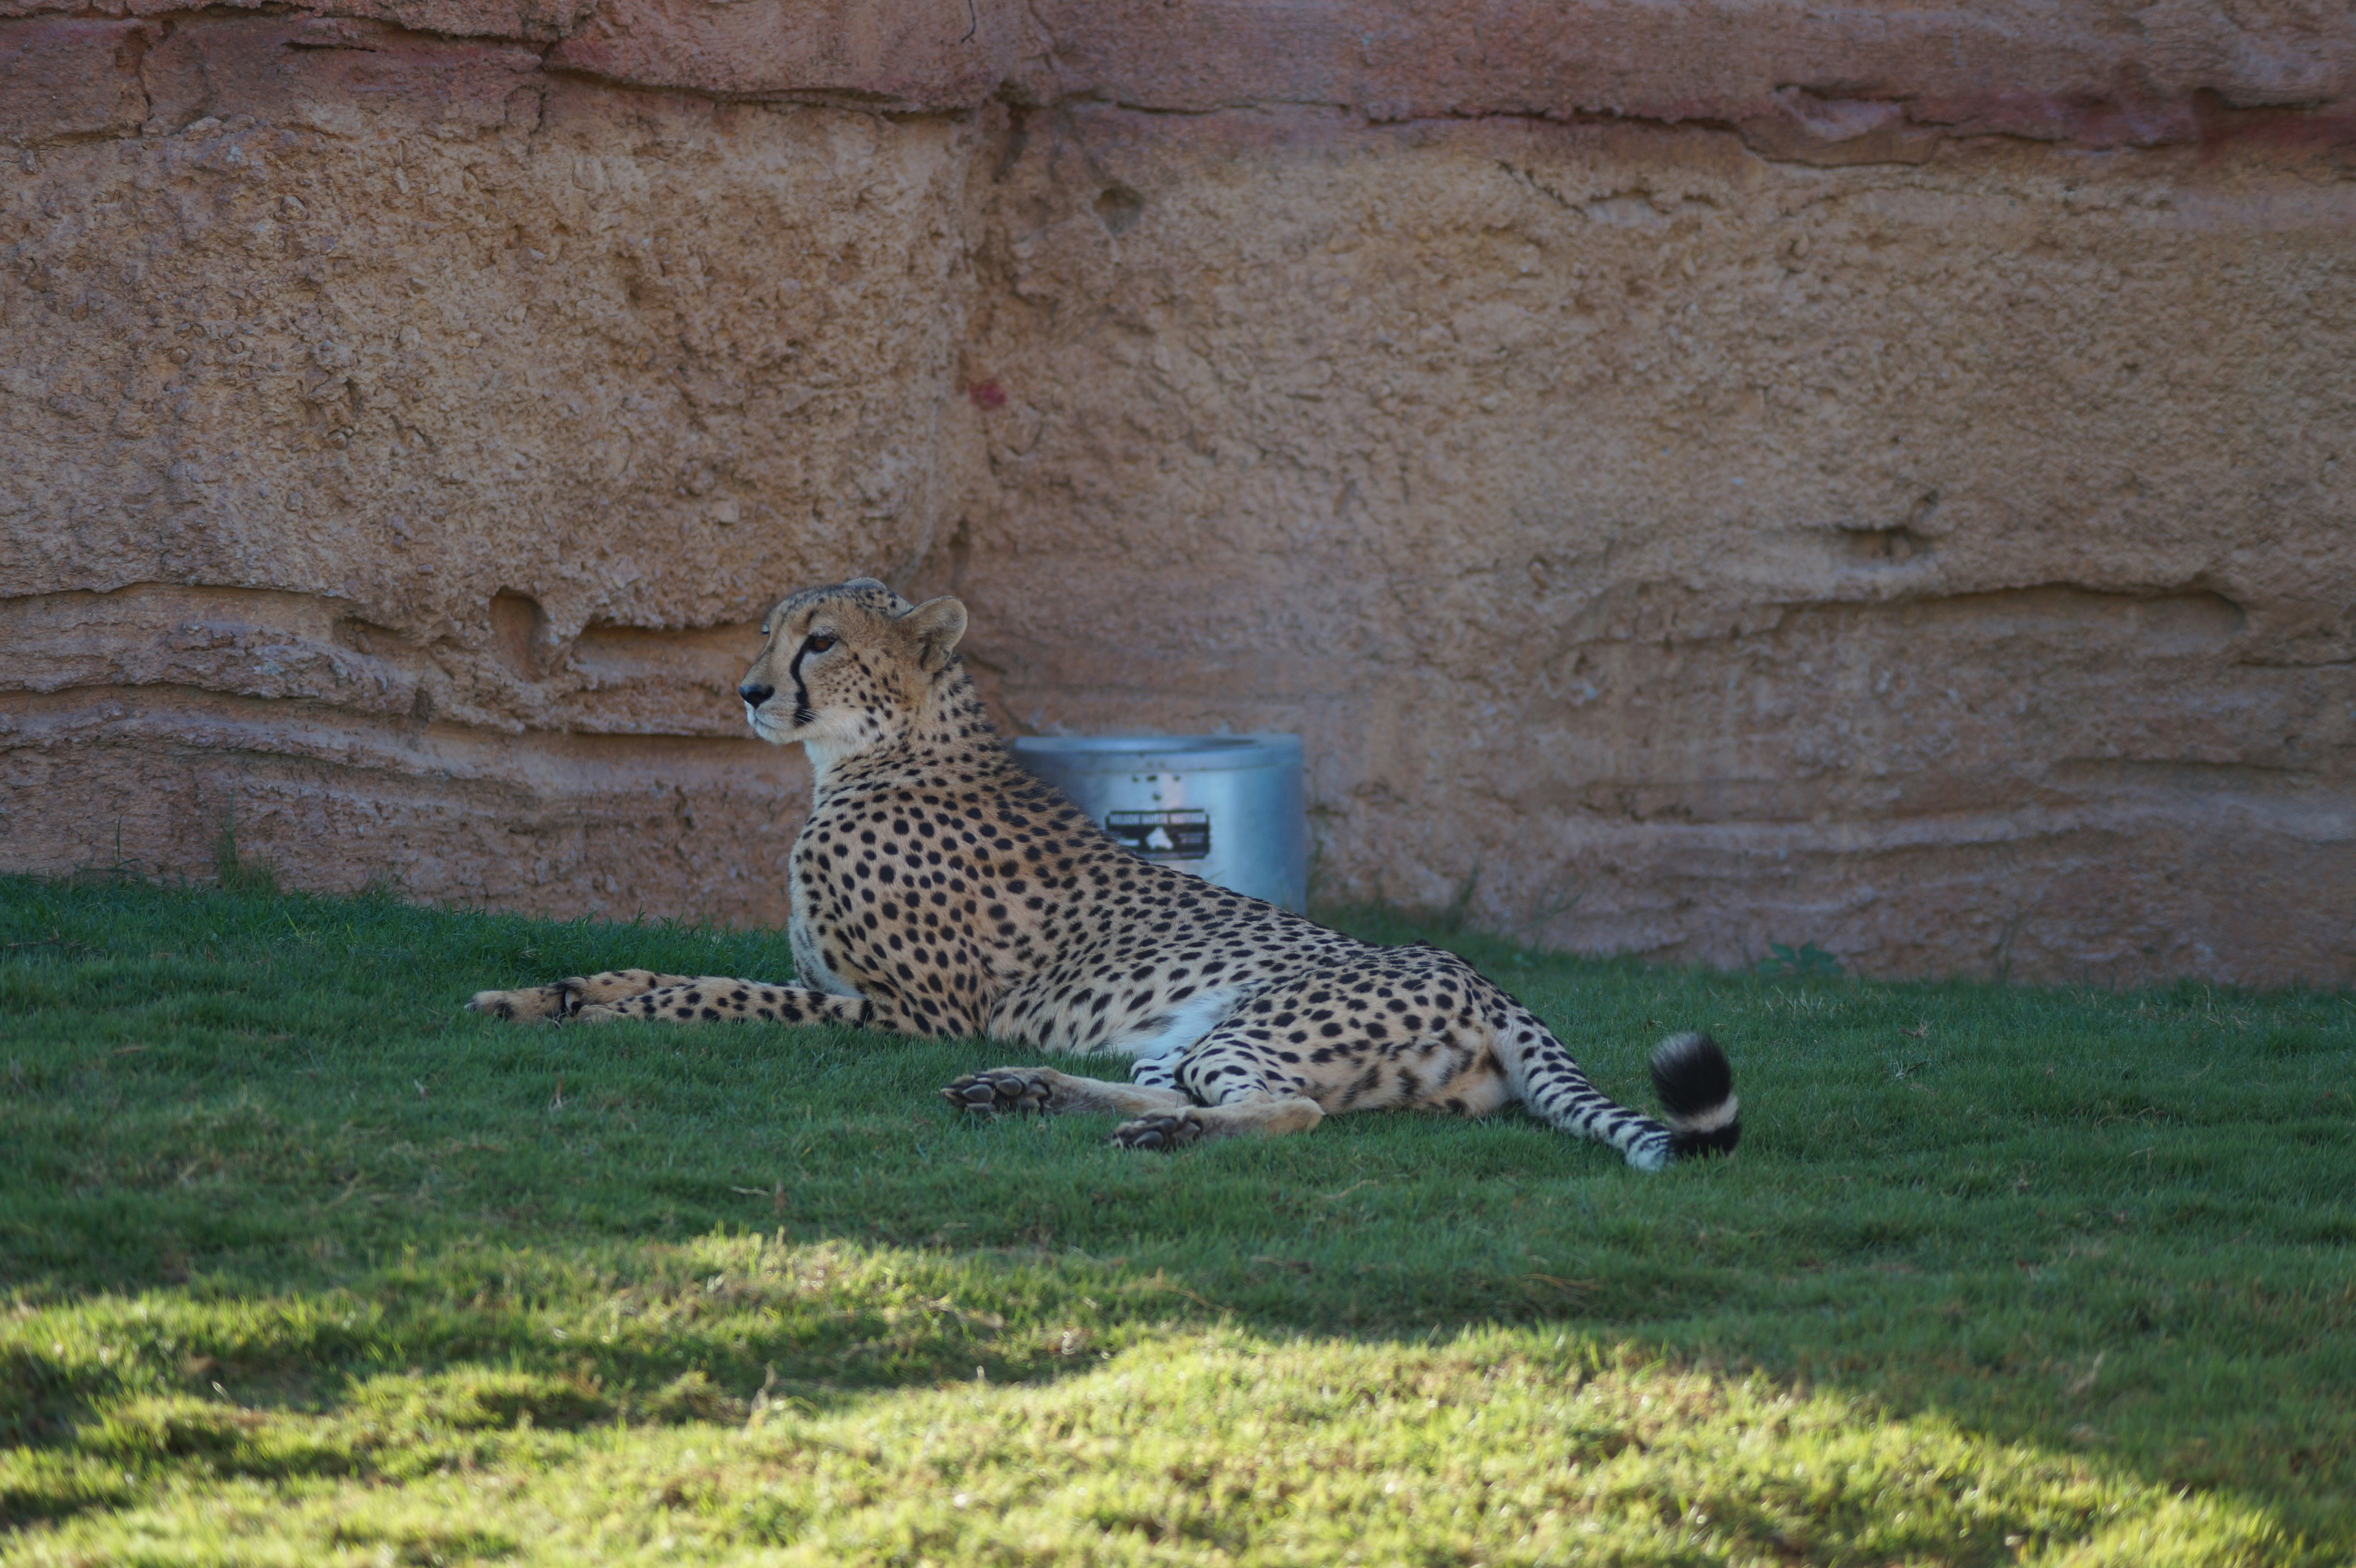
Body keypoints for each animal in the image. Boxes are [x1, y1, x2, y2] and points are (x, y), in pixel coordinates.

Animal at [467, 579, 1741, 1169]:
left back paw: (1146, 1133)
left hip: (1256, 1025)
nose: (746, 691)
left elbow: (705, 996)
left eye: (820, 641)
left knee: (1284, 1112)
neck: (878, 753)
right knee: (1178, 1086)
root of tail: (1484, 977)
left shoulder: (911, 1013)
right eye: (776, 632)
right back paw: (1026, 1092)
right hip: (1189, 1033)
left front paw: (587, 1009)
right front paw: (541, 994)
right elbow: (652, 974)